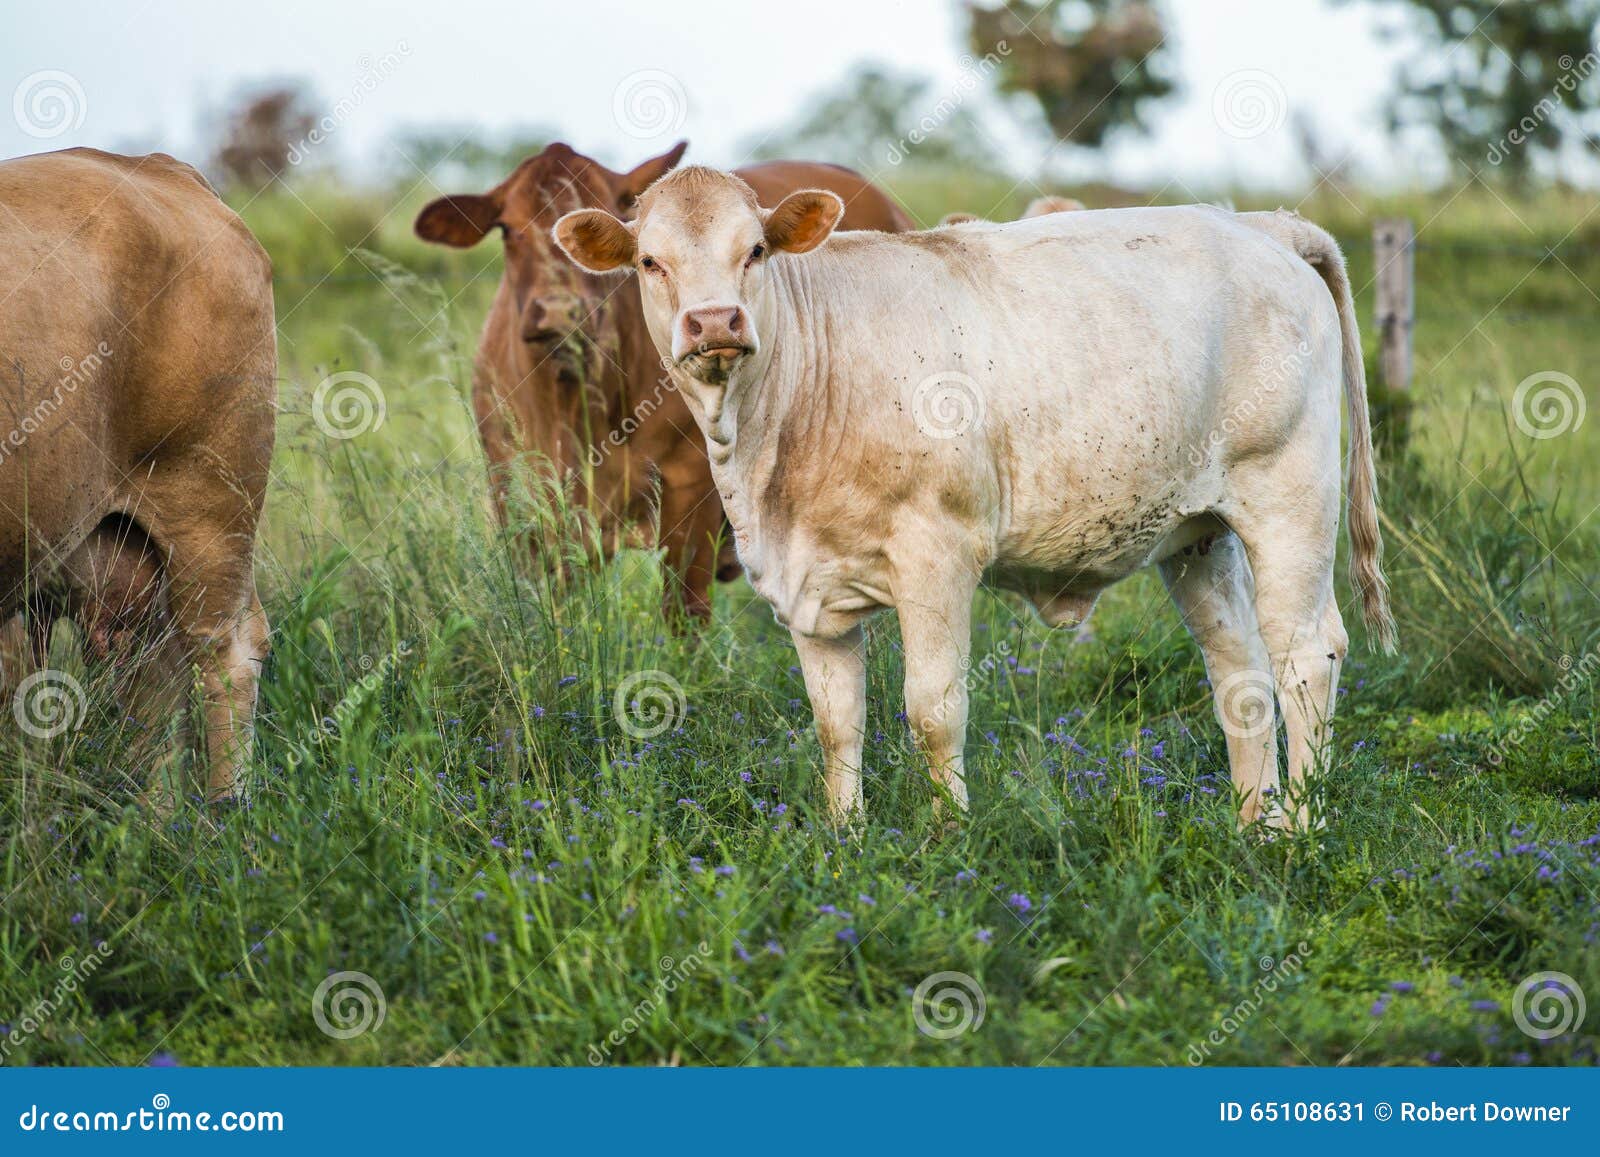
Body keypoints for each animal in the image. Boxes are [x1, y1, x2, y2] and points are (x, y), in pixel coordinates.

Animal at [0, 148, 275, 803]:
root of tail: (155, 164)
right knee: (154, 680)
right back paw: (153, 818)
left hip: (210, 502)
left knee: (226, 653)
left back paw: (227, 813)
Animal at [413, 142, 913, 622]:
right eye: (508, 229)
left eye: (611, 206)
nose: (558, 311)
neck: (578, 408)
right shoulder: (517, 499)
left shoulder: (691, 490)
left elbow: (683, 613)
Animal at [552, 166, 1397, 832]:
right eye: (650, 260)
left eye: (754, 250)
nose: (714, 321)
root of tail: (1261, 223)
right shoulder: (807, 585)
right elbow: (836, 722)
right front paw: (846, 841)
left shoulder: (937, 554)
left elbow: (933, 709)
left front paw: (948, 836)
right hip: (1199, 533)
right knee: (1239, 669)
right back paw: (1253, 823)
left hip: (1289, 496)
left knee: (1305, 655)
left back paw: (1299, 828)